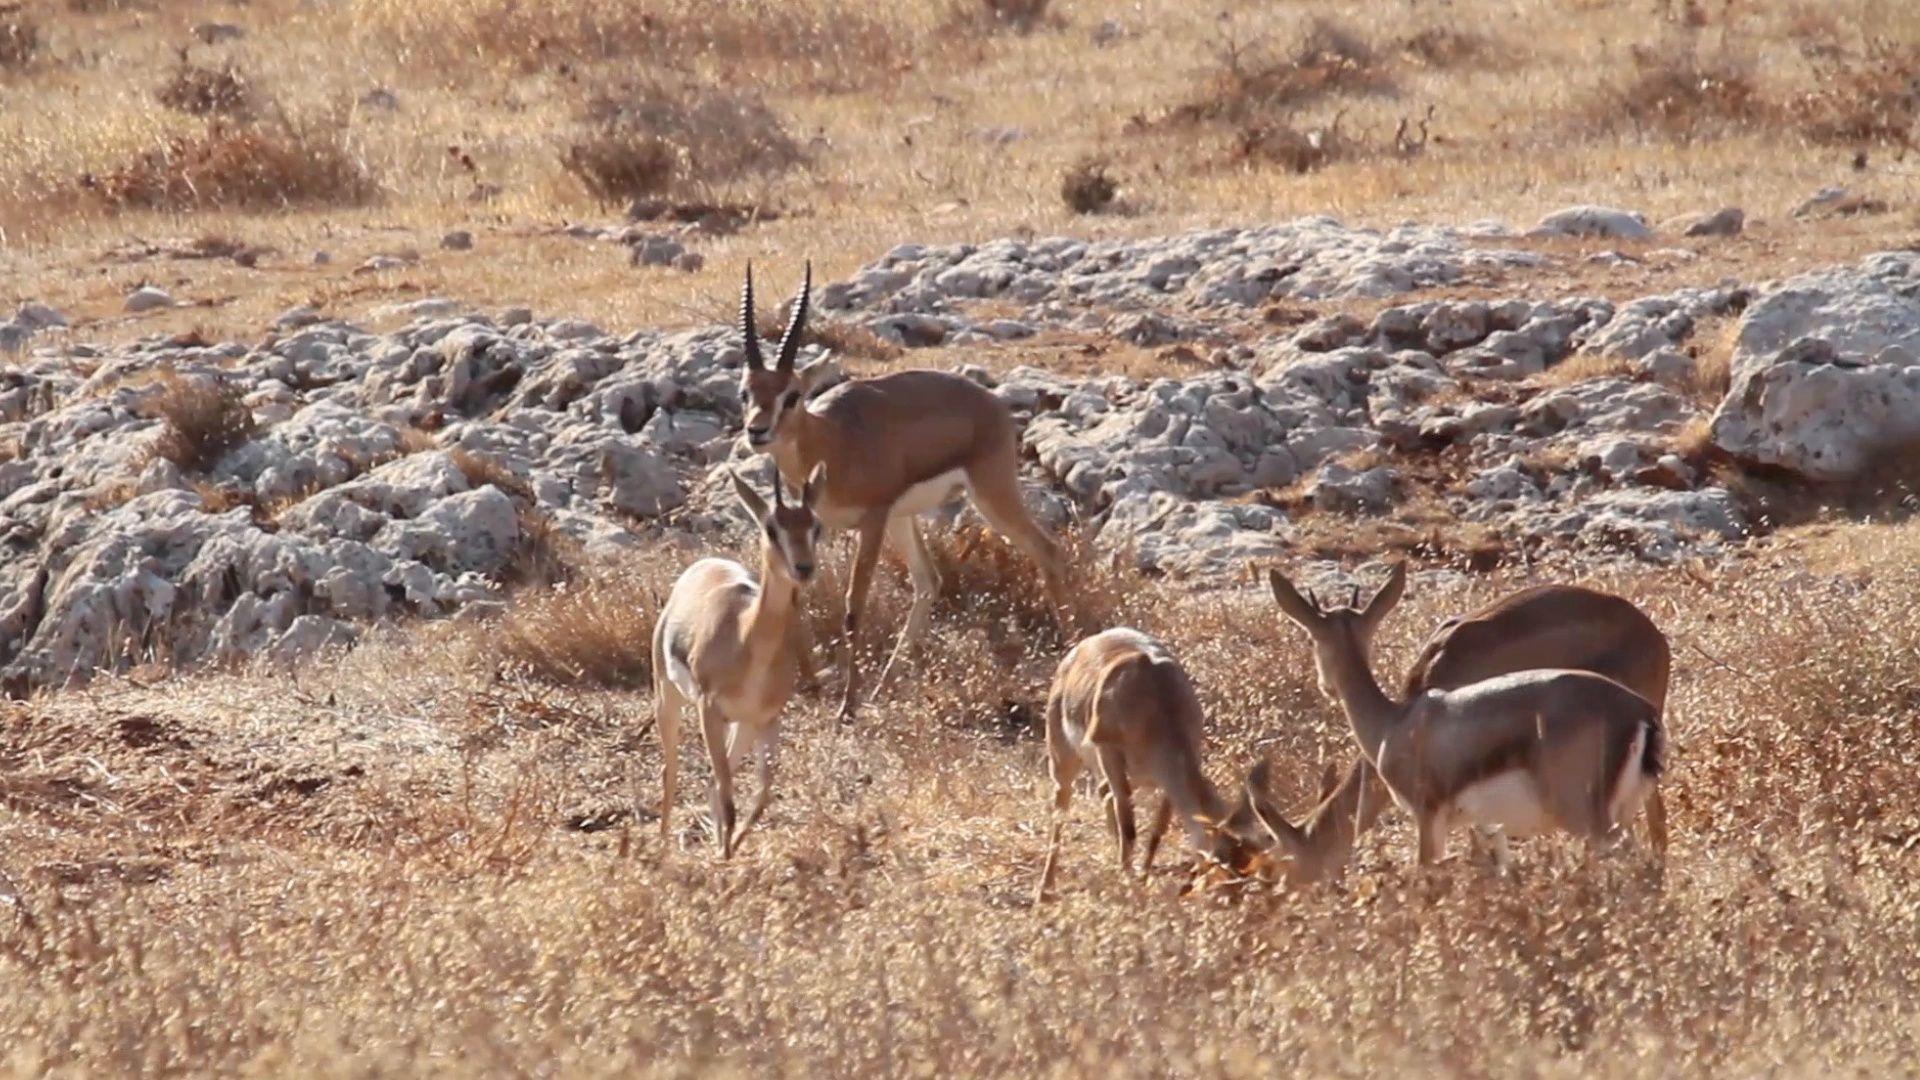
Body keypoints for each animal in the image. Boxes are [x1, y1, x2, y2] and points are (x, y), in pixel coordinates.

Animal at [650, 465, 824, 858]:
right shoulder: (708, 709)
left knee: (715, 780)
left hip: (740, 725)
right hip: (669, 698)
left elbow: (759, 797)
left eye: (816, 526)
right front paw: (723, 858)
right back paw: (663, 844)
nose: (804, 568)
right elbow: (729, 797)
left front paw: (728, 850)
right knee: (671, 771)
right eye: (771, 528)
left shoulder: (766, 720)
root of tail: (705, 563)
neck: (747, 638)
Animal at [736, 263, 1072, 720]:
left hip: (989, 495)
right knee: (929, 579)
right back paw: (884, 685)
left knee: (1047, 550)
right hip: (905, 518)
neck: (833, 439)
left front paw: (847, 706)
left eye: (792, 395)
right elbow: (797, 598)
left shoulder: (873, 519)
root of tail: (992, 402)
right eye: (746, 392)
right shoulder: (817, 525)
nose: (757, 431)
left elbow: (853, 604)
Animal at [1034, 628, 1251, 901]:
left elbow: (1158, 829)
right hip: (1065, 760)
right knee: (1061, 809)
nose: (1235, 899)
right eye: (1222, 858)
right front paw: (1129, 884)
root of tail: (1082, 647)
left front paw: (1141, 877)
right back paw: (1045, 889)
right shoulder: (1110, 754)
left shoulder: (1172, 776)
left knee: (1104, 795)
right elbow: (1129, 827)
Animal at [1266, 563, 1667, 870]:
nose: (1327, 687)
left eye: (1289, 857)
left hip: (1587, 814)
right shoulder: (1485, 822)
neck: (1394, 721)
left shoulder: (1430, 815)